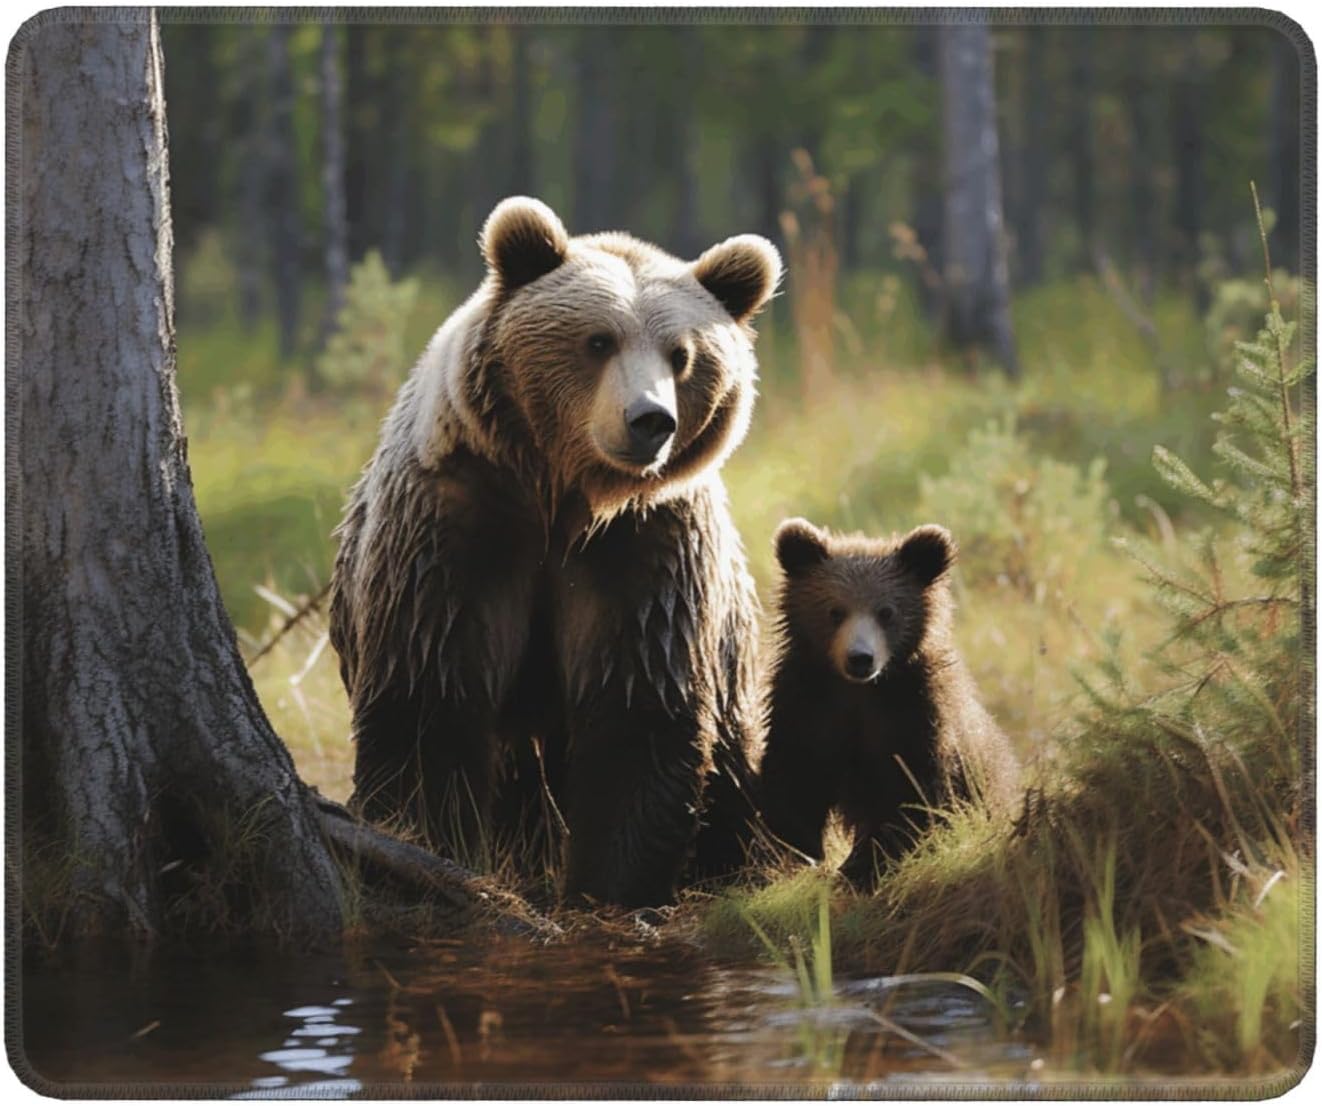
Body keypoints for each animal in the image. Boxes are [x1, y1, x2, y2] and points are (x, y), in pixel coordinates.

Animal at [328, 197, 779, 908]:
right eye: (598, 341)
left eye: (682, 355)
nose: (650, 420)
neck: (561, 495)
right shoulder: (456, 529)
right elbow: (430, 697)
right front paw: (429, 848)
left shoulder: (643, 549)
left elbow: (638, 709)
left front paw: (609, 888)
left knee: (734, 785)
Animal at [758, 517, 1019, 889]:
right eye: (835, 611)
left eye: (886, 612)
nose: (860, 658)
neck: (860, 693)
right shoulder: (807, 703)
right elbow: (796, 777)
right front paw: (798, 857)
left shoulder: (915, 714)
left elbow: (911, 794)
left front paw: (862, 866)